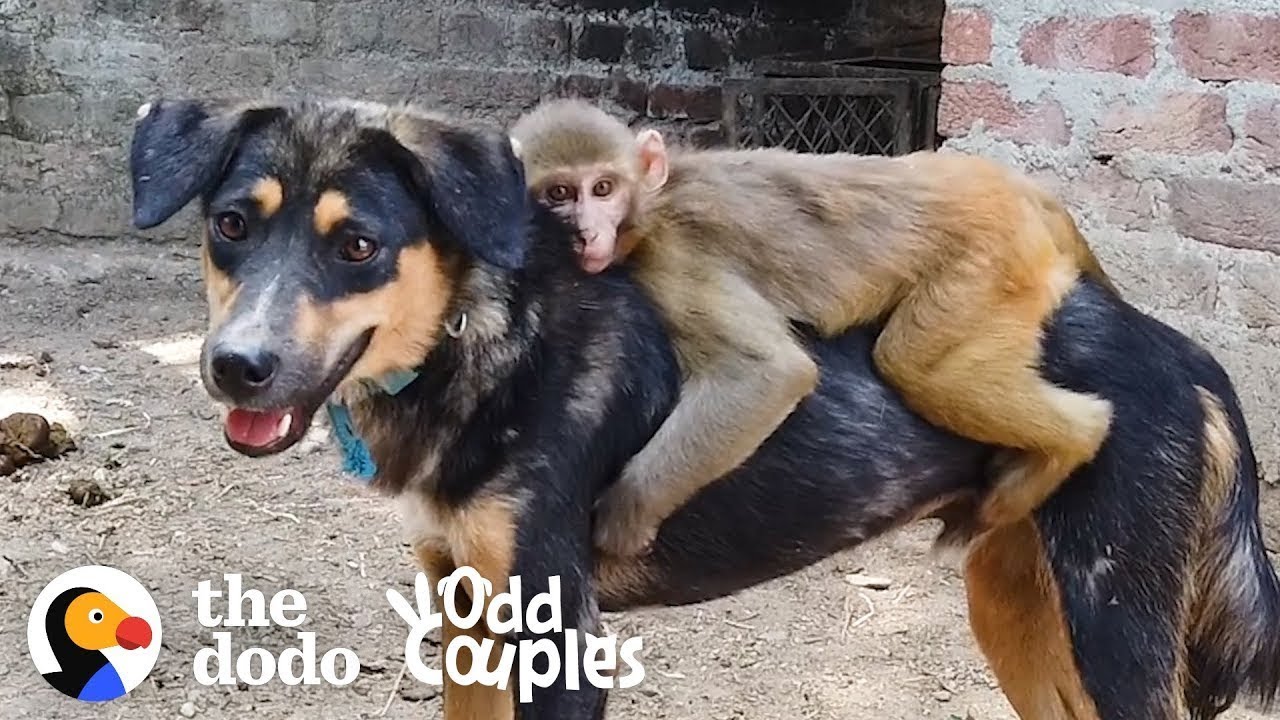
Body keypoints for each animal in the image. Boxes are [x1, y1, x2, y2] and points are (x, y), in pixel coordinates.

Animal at [509, 98, 1119, 557]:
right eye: (559, 194)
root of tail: (1019, 188)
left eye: (603, 189)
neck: (650, 207)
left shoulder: (673, 258)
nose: (587, 233)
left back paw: (1075, 440)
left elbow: (767, 374)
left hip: (988, 261)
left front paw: (628, 510)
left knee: (919, 367)